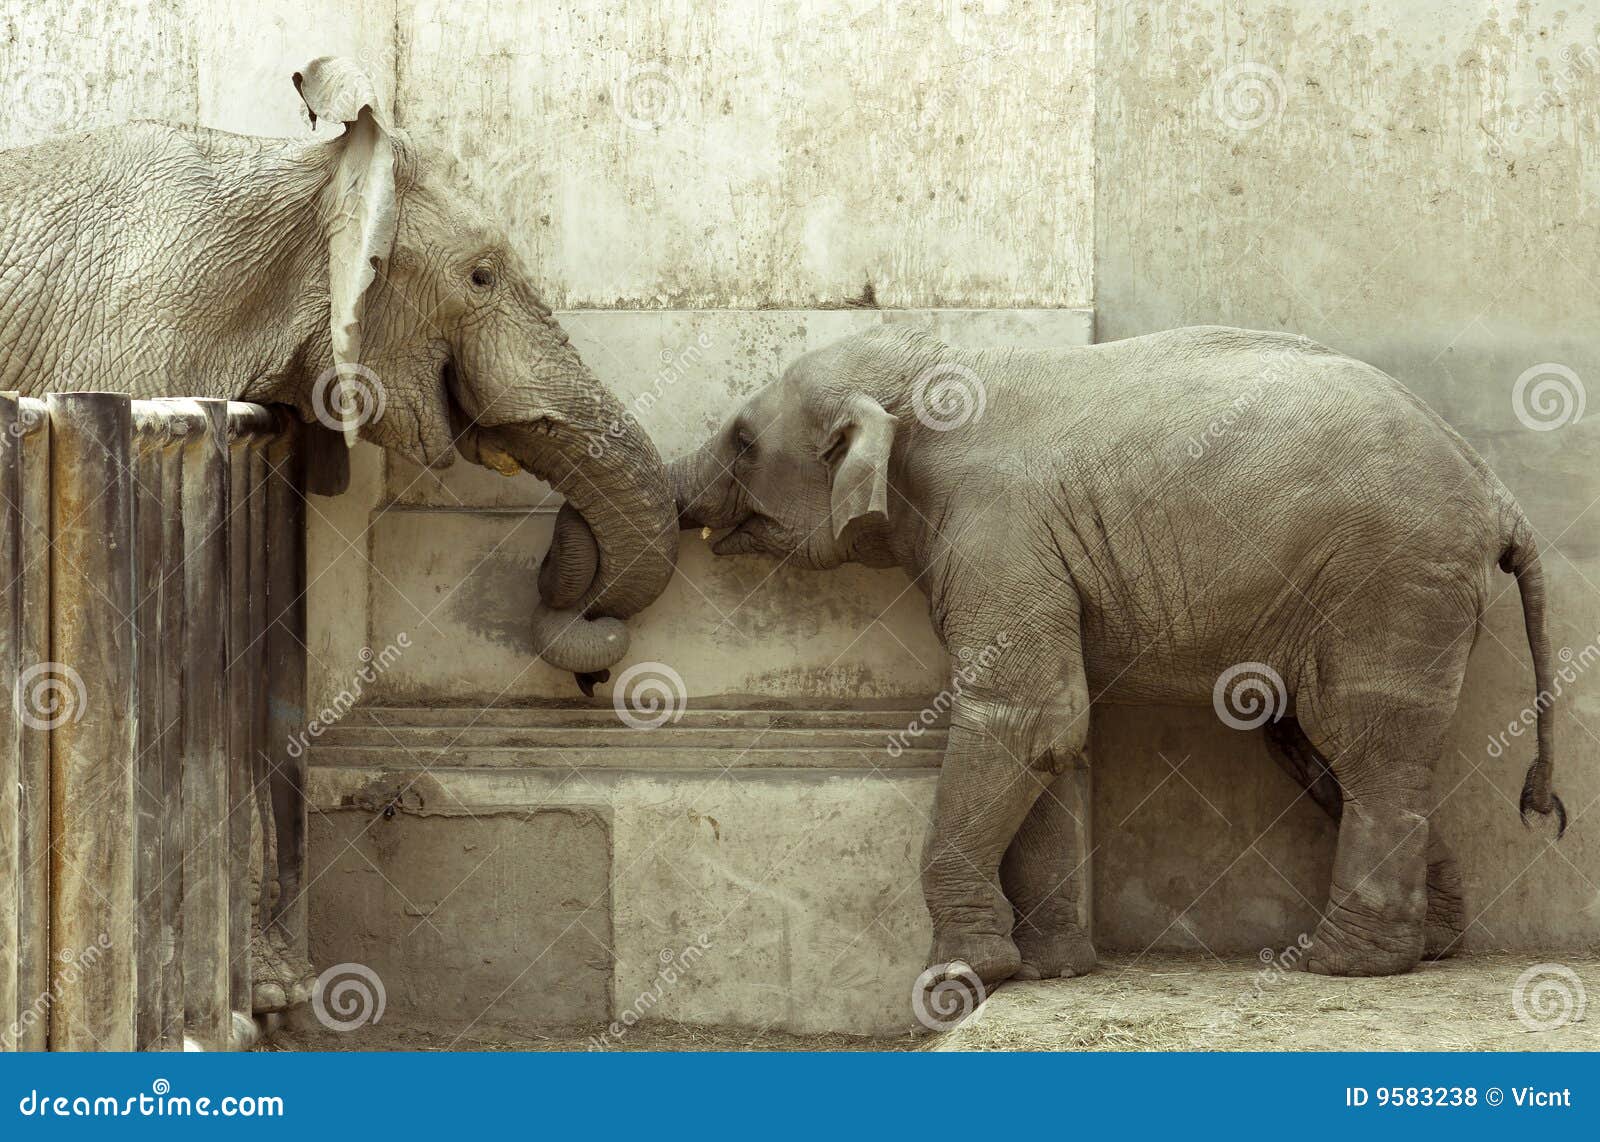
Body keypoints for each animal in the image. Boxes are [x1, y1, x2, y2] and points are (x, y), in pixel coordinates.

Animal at [0, 58, 678, 1012]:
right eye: (481, 277)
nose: (600, 678)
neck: (313, 175)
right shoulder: (125, 355)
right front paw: (269, 994)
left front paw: (273, 986)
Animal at [667, 322, 1563, 996]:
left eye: (742, 442)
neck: (932, 370)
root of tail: (1499, 495)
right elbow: (1053, 735)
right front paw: (1051, 972)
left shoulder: (998, 527)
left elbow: (1026, 712)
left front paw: (960, 980)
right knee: (1332, 752)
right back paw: (1430, 949)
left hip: (1390, 583)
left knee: (1362, 747)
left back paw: (1338, 965)